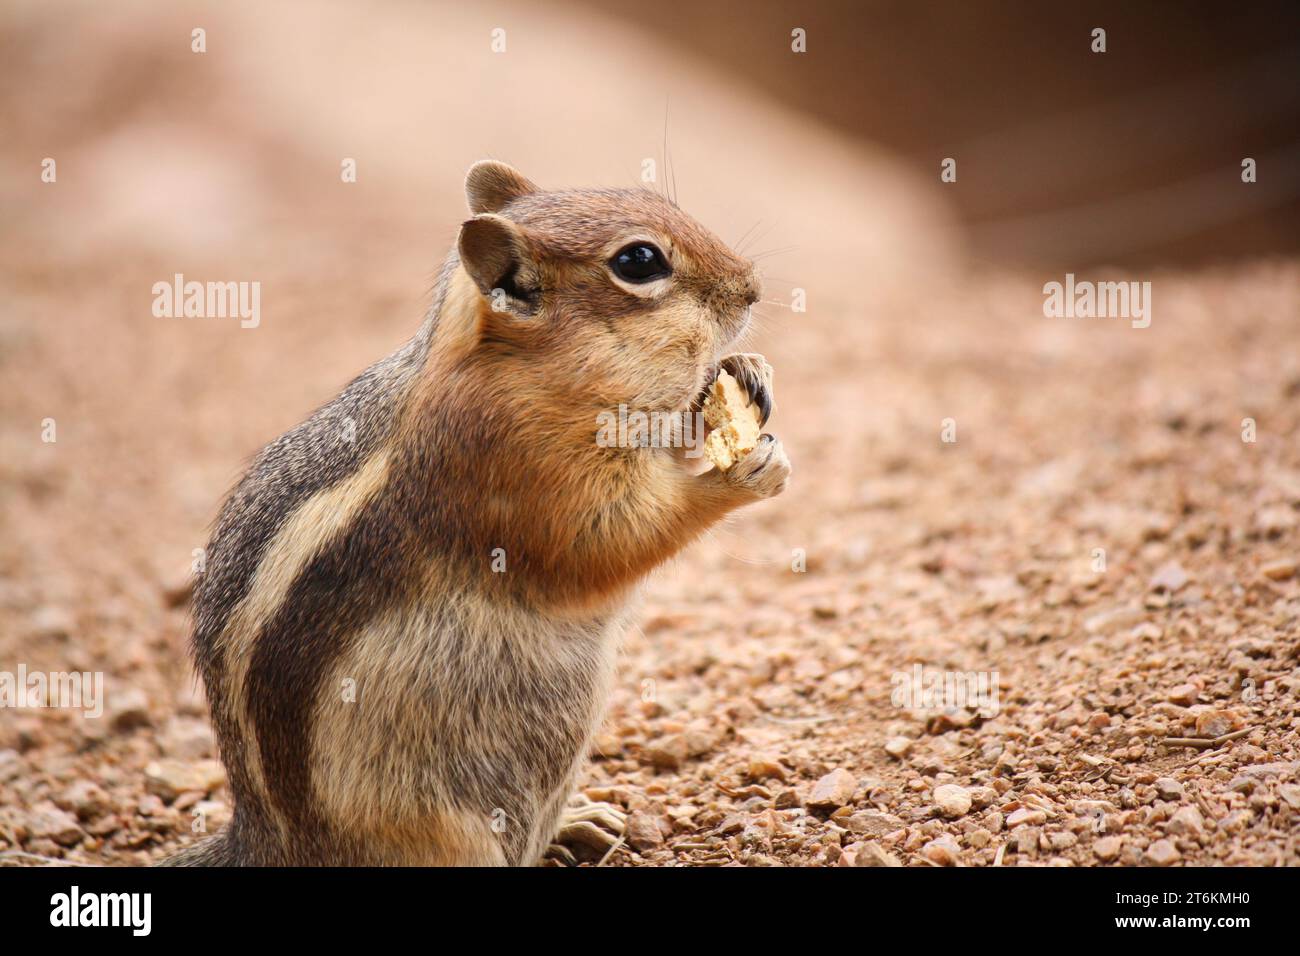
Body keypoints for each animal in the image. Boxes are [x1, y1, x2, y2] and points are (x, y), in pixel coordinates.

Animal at [161, 161, 791, 866]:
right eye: (639, 261)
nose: (753, 289)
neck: (523, 366)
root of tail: (266, 842)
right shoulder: (518, 464)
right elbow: (608, 541)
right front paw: (738, 475)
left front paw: (747, 372)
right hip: (436, 829)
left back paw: (580, 825)